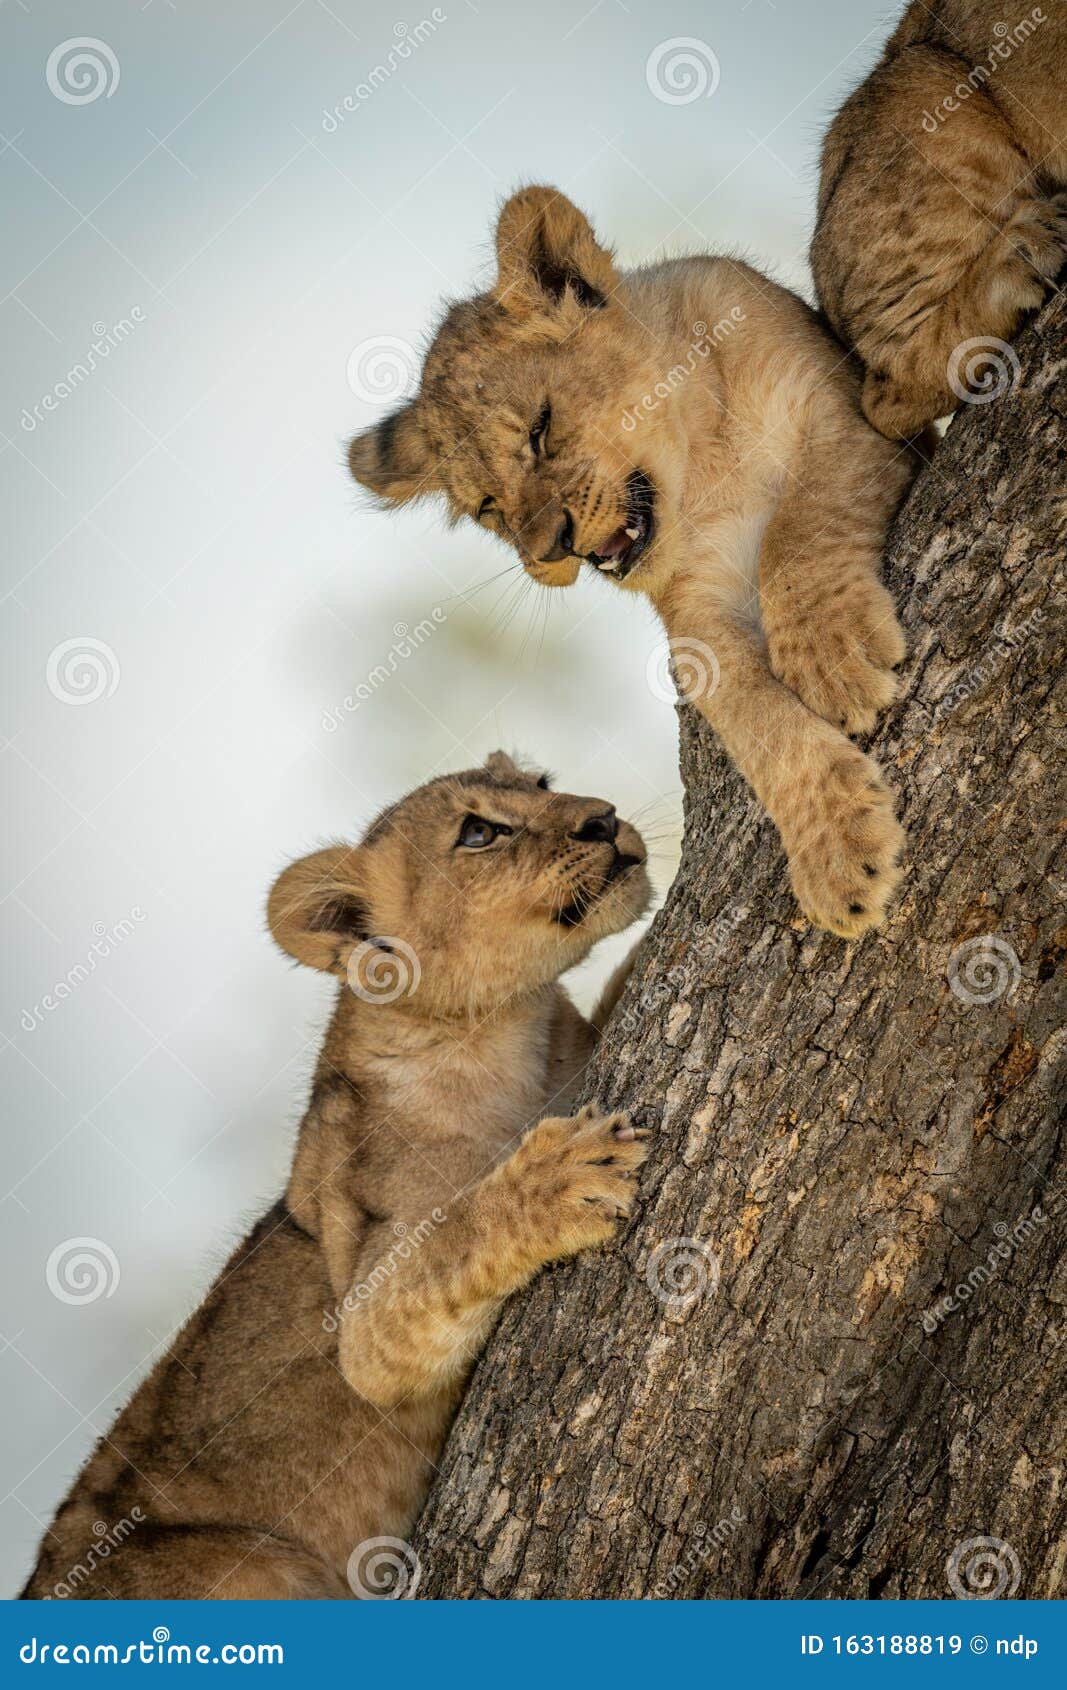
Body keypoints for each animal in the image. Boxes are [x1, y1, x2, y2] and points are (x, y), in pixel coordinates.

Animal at [21, 753, 650, 1599]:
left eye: (544, 784)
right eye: (478, 834)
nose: (603, 818)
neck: (511, 1033)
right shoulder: (367, 1316)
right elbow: (457, 1236)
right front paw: (557, 1174)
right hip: (262, 1565)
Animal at [349, 186, 923, 938]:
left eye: (541, 430)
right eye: (488, 507)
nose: (550, 550)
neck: (702, 466)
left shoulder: (848, 413)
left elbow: (798, 529)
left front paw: (833, 657)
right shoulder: (692, 610)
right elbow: (744, 711)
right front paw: (839, 855)